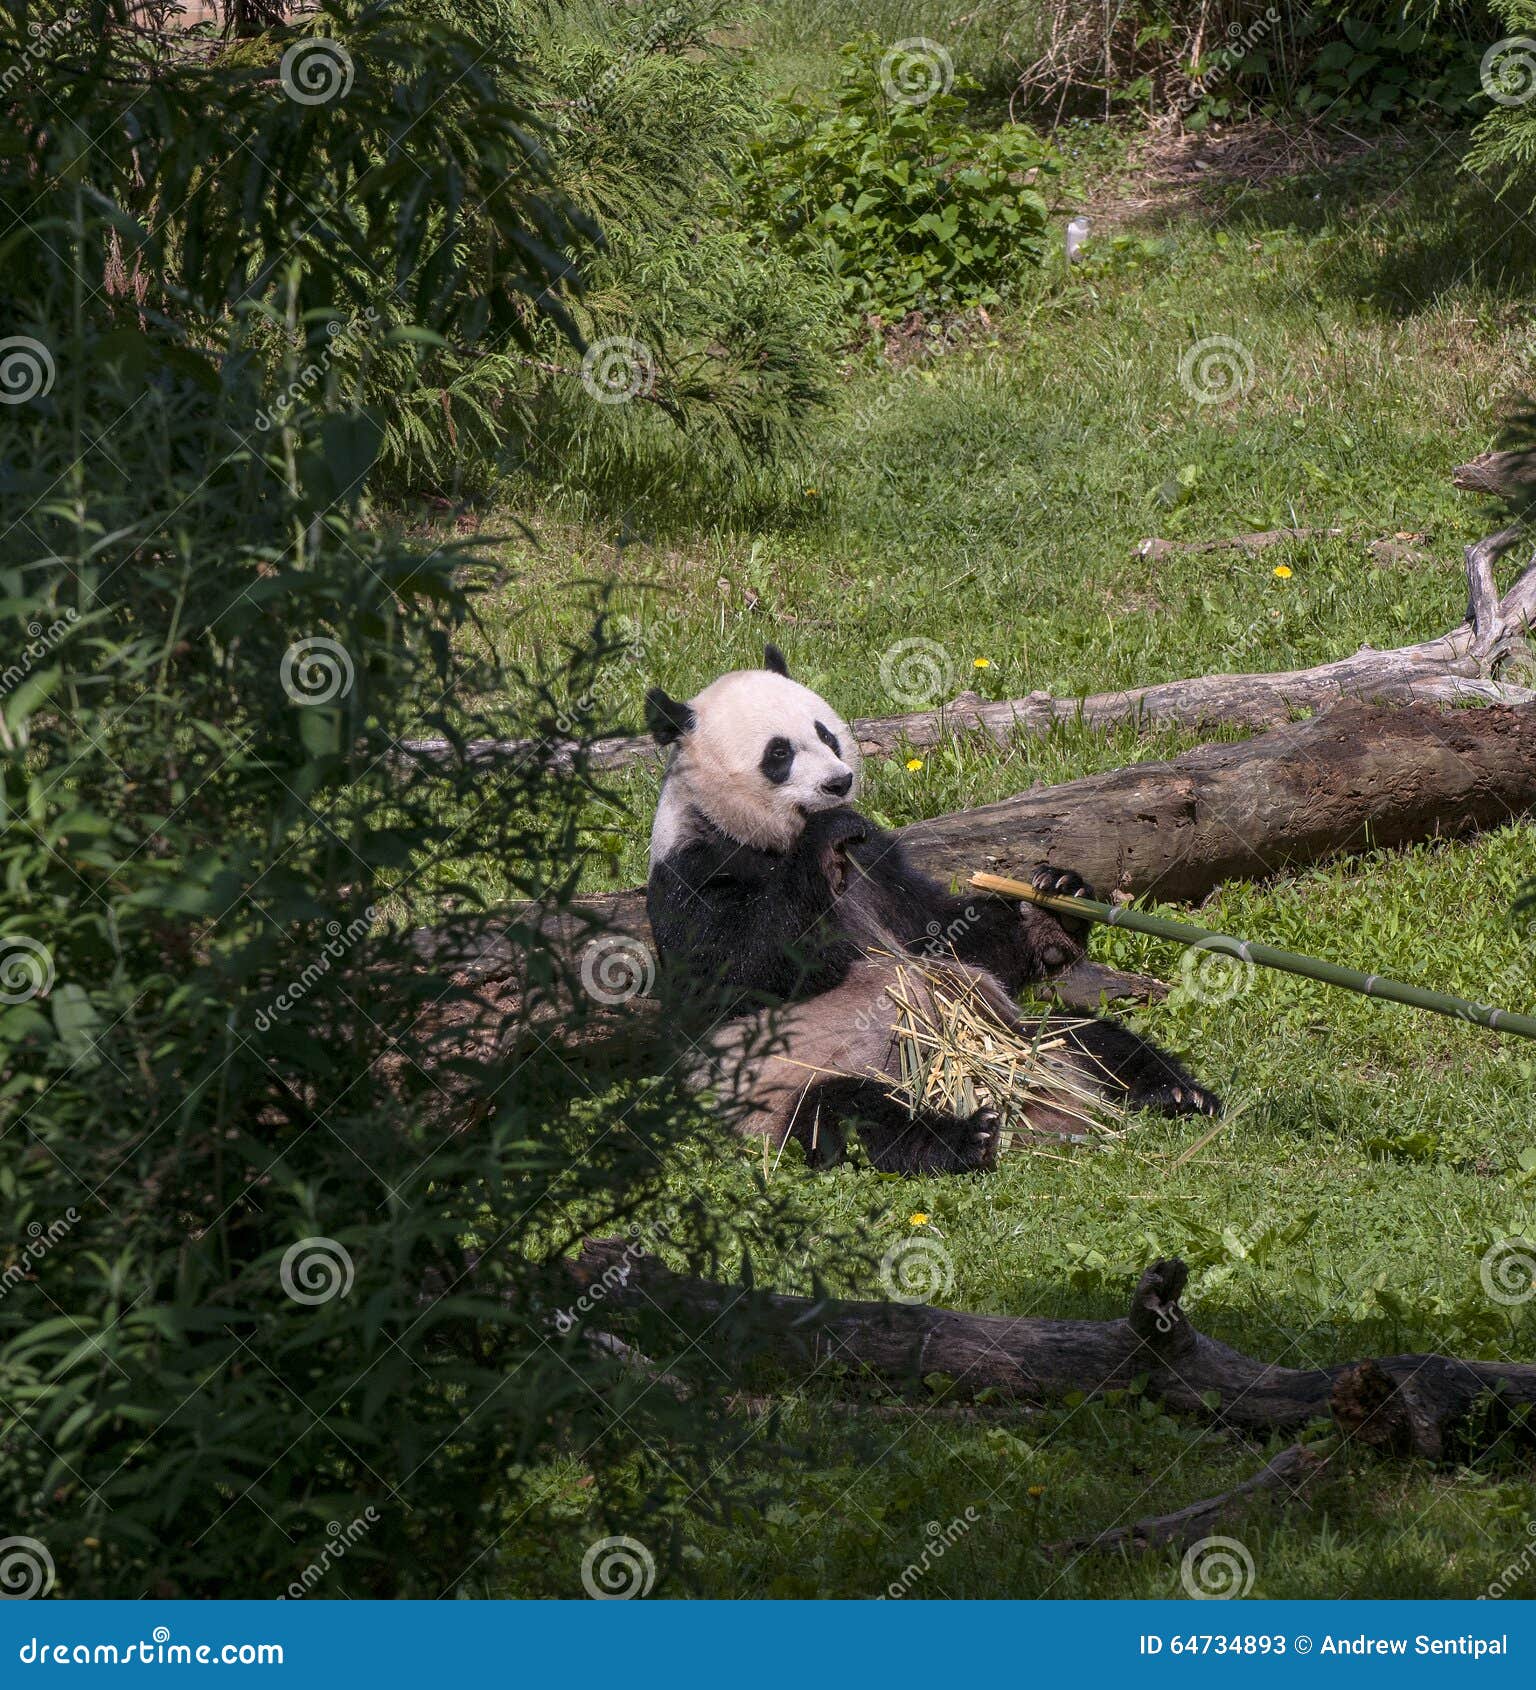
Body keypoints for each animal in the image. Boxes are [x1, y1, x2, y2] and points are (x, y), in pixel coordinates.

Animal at [644, 646, 1220, 1176]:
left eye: (825, 734)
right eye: (778, 753)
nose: (838, 783)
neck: (766, 837)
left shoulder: (877, 863)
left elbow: (945, 934)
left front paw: (1059, 902)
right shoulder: (694, 868)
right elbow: (739, 965)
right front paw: (824, 842)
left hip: (1019, 1030)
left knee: (1092, 1037)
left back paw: (1176, 1092)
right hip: (787, 1084)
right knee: (850, 1111)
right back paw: (965, 1136)